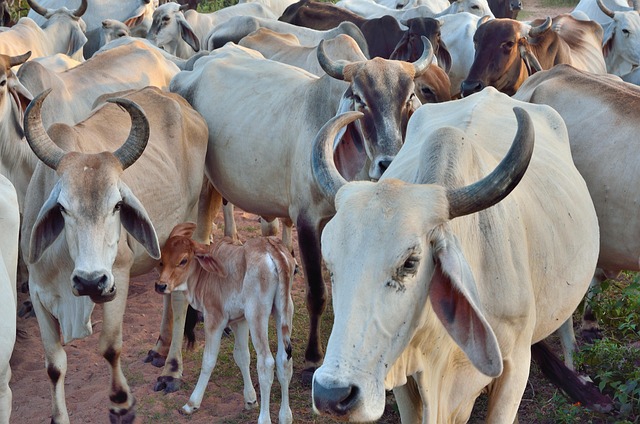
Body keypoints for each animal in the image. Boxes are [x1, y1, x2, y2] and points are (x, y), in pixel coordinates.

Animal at [20, 86, 214, 424]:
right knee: (165, 289)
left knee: (178, 300)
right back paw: (159, 348)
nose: (90, 281)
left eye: (117, 205)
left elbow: (110, 347)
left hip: (187, 225)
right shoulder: (37, 290)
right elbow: (54, 365)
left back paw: (171, 370)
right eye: (63, 208)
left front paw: (122, 405)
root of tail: (184, 106)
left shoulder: (117, 278)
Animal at [155, 223, 296, 423]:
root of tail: (270, 247)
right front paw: (250, 400)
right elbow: (242, 356)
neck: (205, 275)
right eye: (162, 260)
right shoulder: (239, 321)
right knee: (284, 360)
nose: (161, 285)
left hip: (257, 314)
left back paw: (264, 418)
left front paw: (191, 404)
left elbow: (208, 360)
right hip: (284, 310)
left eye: (183, 260)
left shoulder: (215, 319)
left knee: (266, 363)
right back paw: (285, 416)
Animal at [170, 40, 432, 382]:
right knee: (196, 243)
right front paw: (312, 357)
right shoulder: (307, 222)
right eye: (360, 98)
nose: (388, 162)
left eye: (408, 96)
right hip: (203, 188)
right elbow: (317, 294)